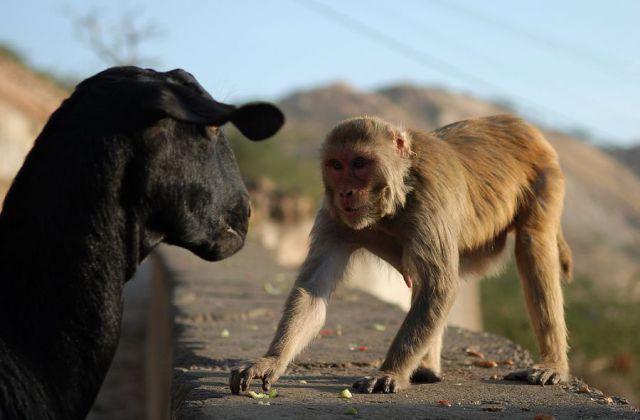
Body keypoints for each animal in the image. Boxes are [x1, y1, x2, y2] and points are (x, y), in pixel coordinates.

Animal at [230, 114, 572, 394]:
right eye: (336, 165)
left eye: (359, 163)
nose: (346, 192)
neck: (392, 201)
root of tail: (521, 125)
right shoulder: (334, 216)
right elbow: (314, 290)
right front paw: (271, 361)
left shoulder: (429, 199)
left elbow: (439, 287)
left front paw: (390, 372)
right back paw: (427, 368)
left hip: (547, 176)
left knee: (532, 248)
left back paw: (552, 365)